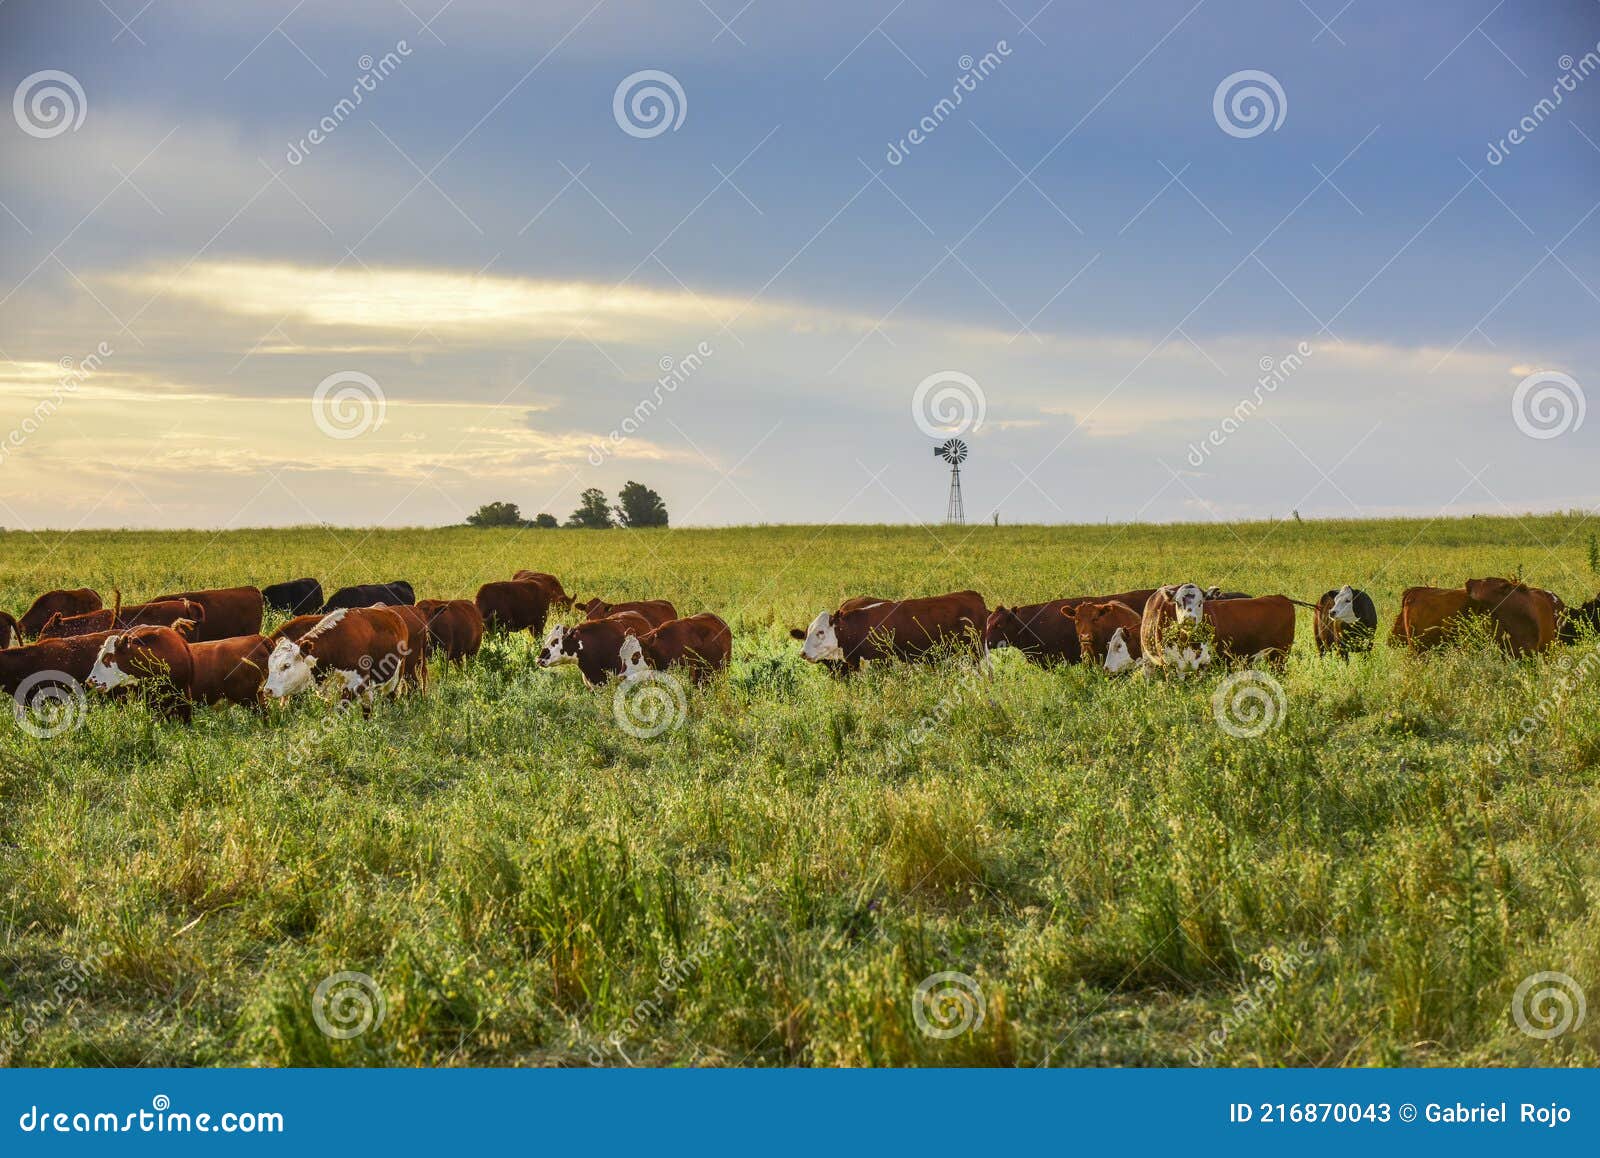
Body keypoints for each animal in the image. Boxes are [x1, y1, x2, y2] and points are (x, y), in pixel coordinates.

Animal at [263, 607, 411, 709]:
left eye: (286, 665)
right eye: (269, 665)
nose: (267, 690)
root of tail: (394, 615)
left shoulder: (356, 683)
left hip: (395, 678)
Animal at [795, 591, 987, 673]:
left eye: (820, 632)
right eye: (806, 633)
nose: (802, 653)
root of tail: (971, 594)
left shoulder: (883, 663)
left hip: (975, 654)